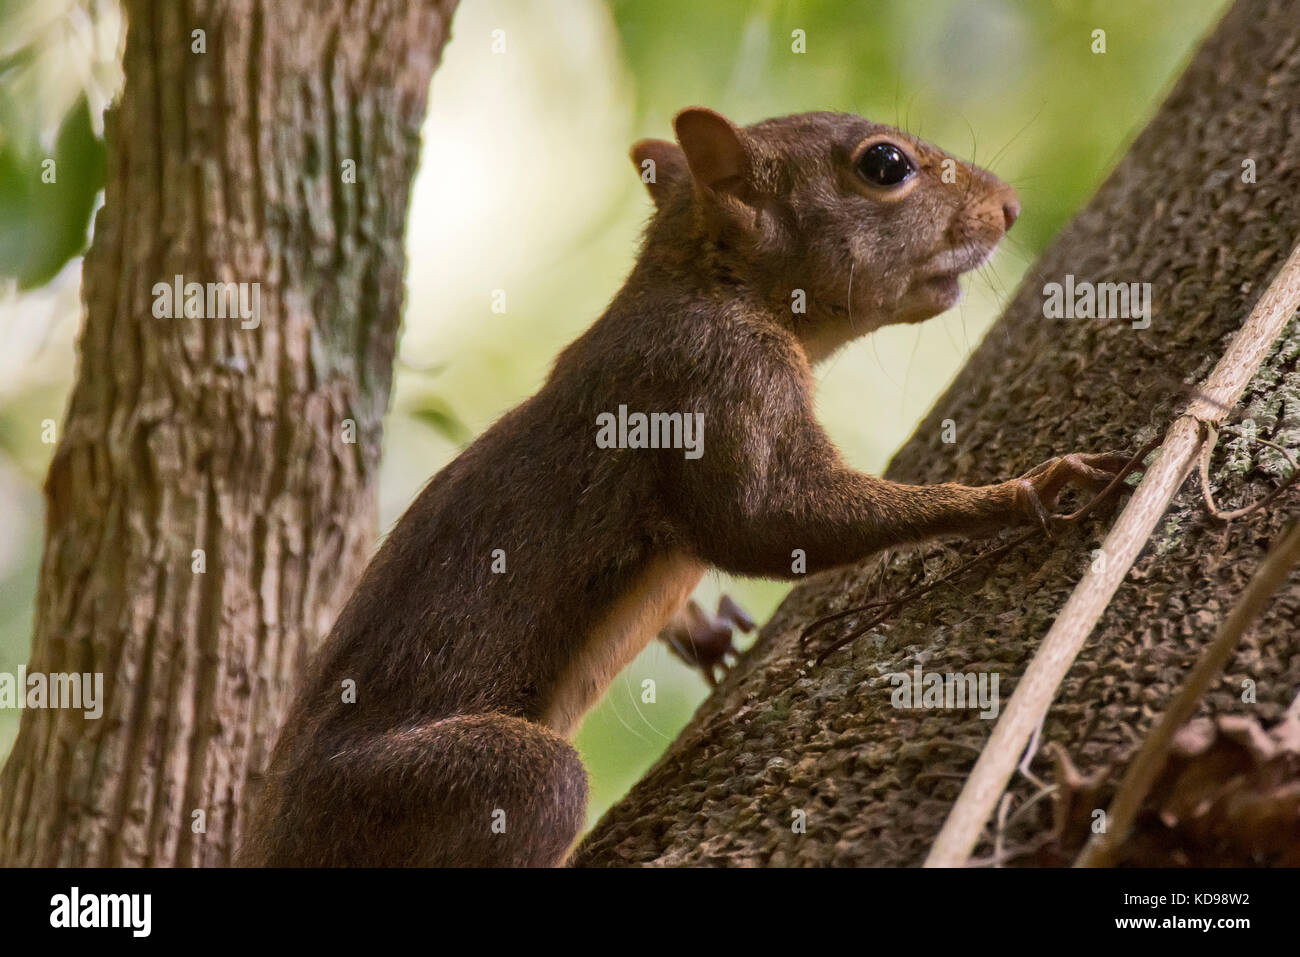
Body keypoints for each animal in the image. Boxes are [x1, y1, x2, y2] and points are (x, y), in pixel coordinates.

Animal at [240, 107, 1129, 868]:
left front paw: (704, 632)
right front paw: (1020, 492)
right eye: (885, 165)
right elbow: (767, 522)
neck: (710, 282)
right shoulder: (711, 379)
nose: (1008, 205)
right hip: (444, 787)